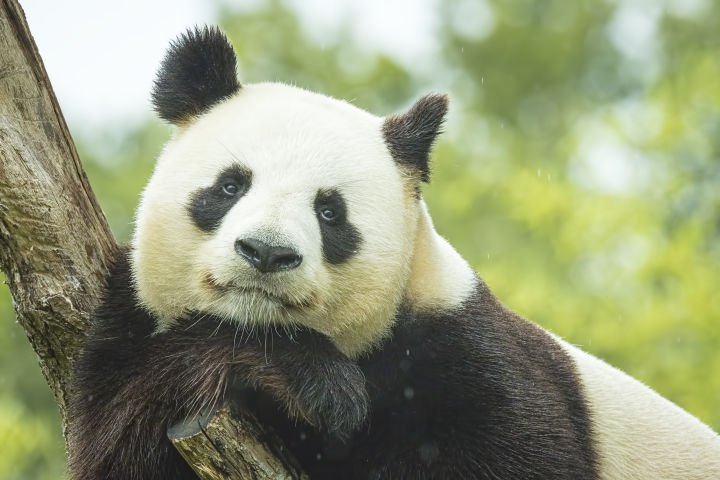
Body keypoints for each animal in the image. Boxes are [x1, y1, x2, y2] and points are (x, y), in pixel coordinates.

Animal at [67, 26, 720, 480]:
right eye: (231, 186)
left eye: (330, 212)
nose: (267, 253)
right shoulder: (125, 334)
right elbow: (127, 437)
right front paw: (312, 382)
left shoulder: (470, 366)